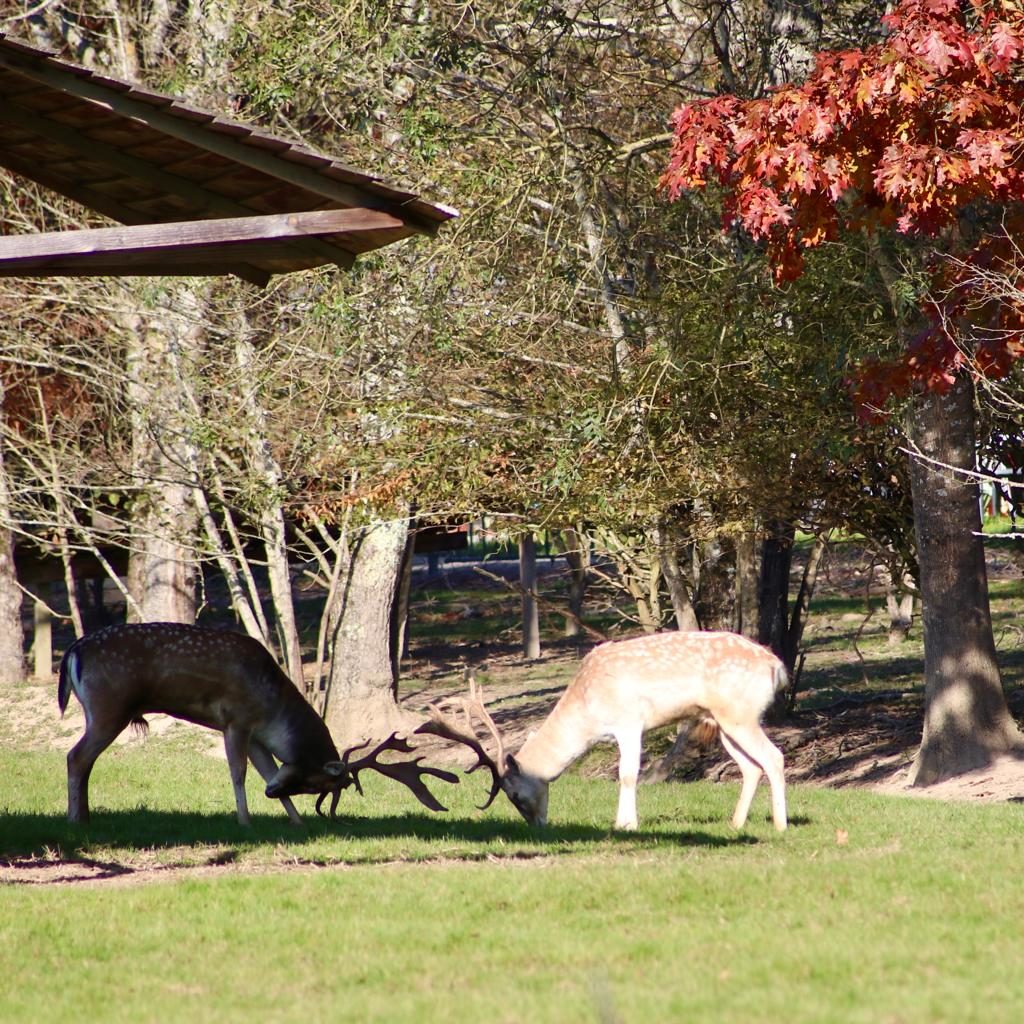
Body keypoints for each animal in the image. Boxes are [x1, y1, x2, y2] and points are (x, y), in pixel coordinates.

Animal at [58, 622, 460, 826]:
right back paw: (76, 821)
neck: (273, 708)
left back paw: (86, 816)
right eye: (319, 783)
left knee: (84, 759)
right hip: (110, 706)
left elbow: (266, 768)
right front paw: (245, 822)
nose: (272, 795)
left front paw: (296, 823)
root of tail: (72, 652)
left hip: (102, 711)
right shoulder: (235, 718)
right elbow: (238, 772)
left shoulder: (254, 734)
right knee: (76, 756)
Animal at [422, 631, 788, 832]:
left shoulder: (629, 722)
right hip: (723, 720)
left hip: (740, 713)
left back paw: (780, 825)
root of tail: (777, 665)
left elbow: (627, 774)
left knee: (774, 757)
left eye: (513, 794)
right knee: (751, 767)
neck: (589, 712)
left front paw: (625, 824)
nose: (538, 827)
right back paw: (735, 824)